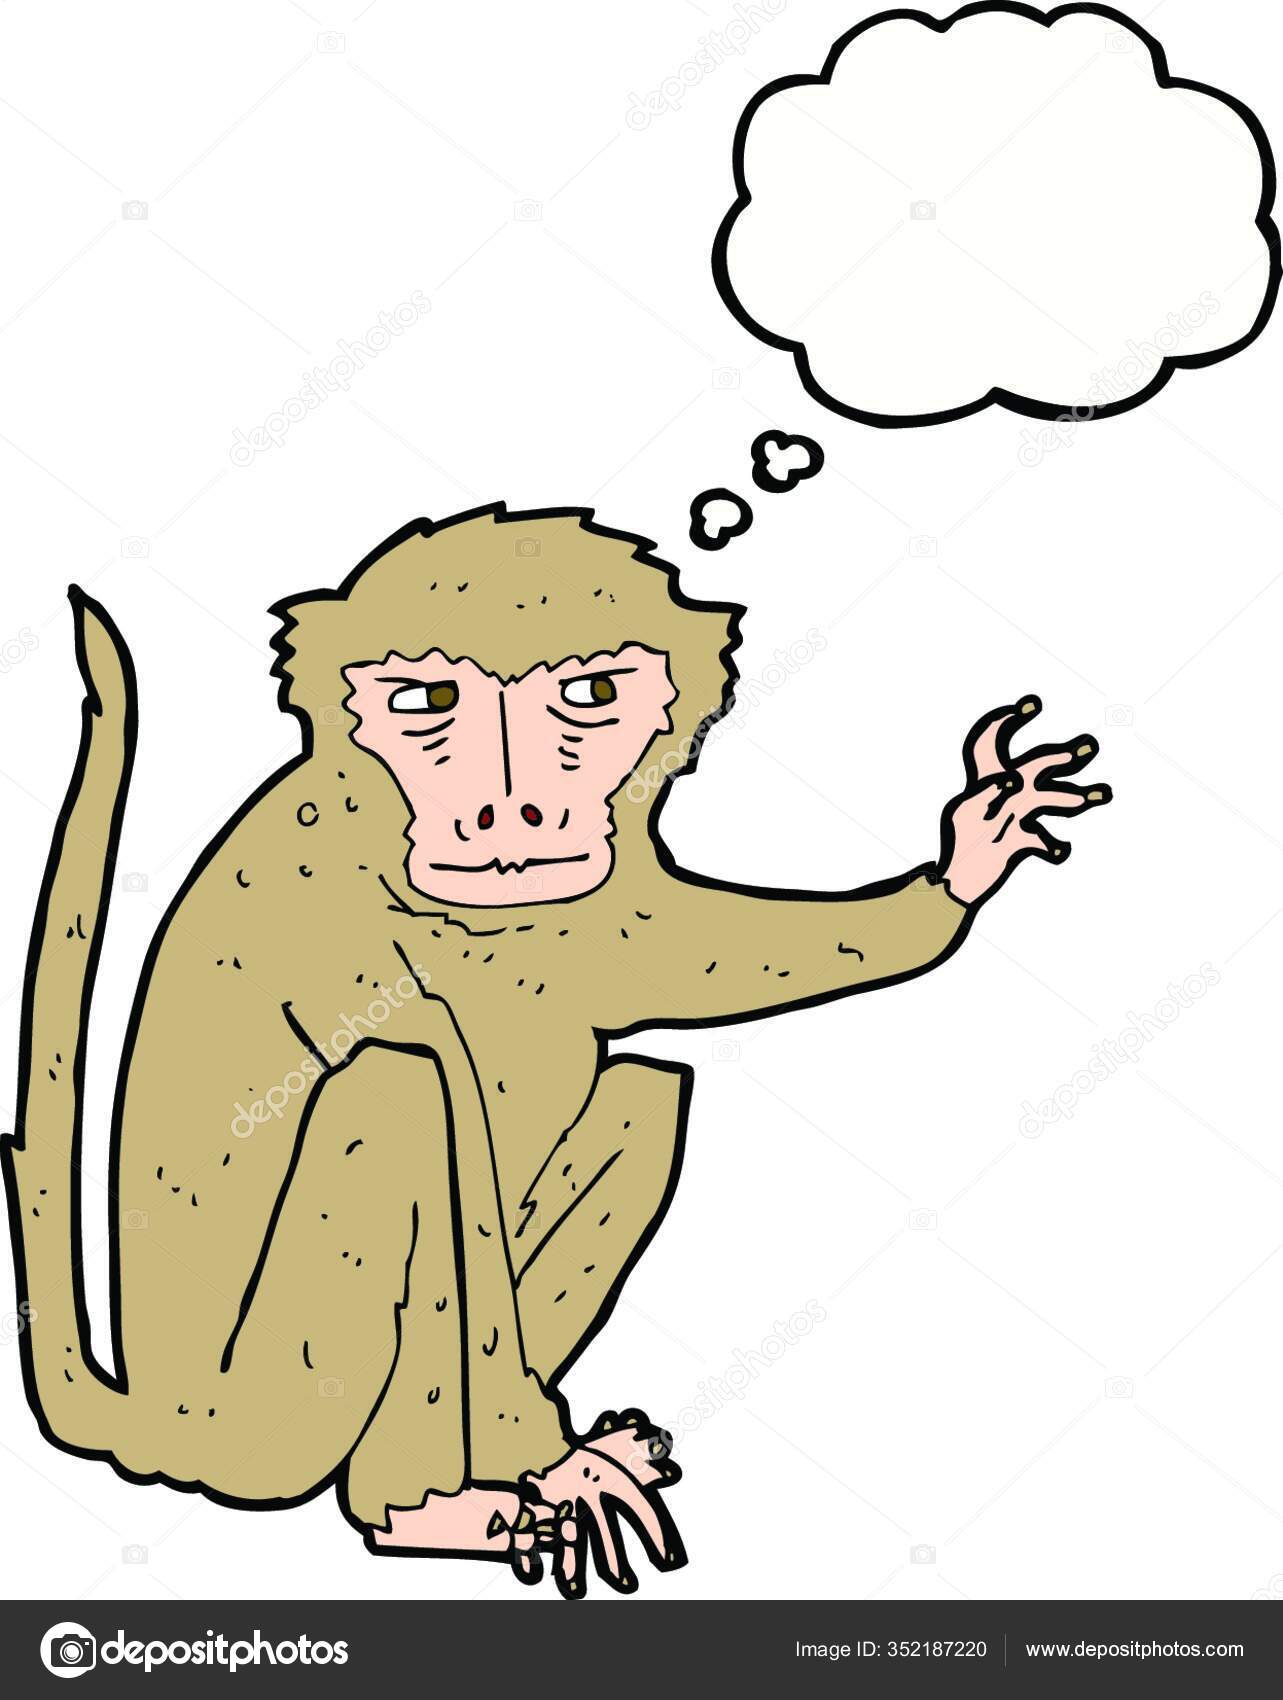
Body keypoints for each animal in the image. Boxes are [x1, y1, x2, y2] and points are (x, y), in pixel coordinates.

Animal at [4, 504, 1111, 1597]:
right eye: (425, 701)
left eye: (588, 696)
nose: (509, 812)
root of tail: (158, 1419)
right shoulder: (332, 929)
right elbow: (448, 1136)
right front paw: (553, 1462)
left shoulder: (604, 908)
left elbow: (709, 959)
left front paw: (971, 848)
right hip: (269, 1397)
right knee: (402, 1098)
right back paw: (425, 1507)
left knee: (644, 1090)